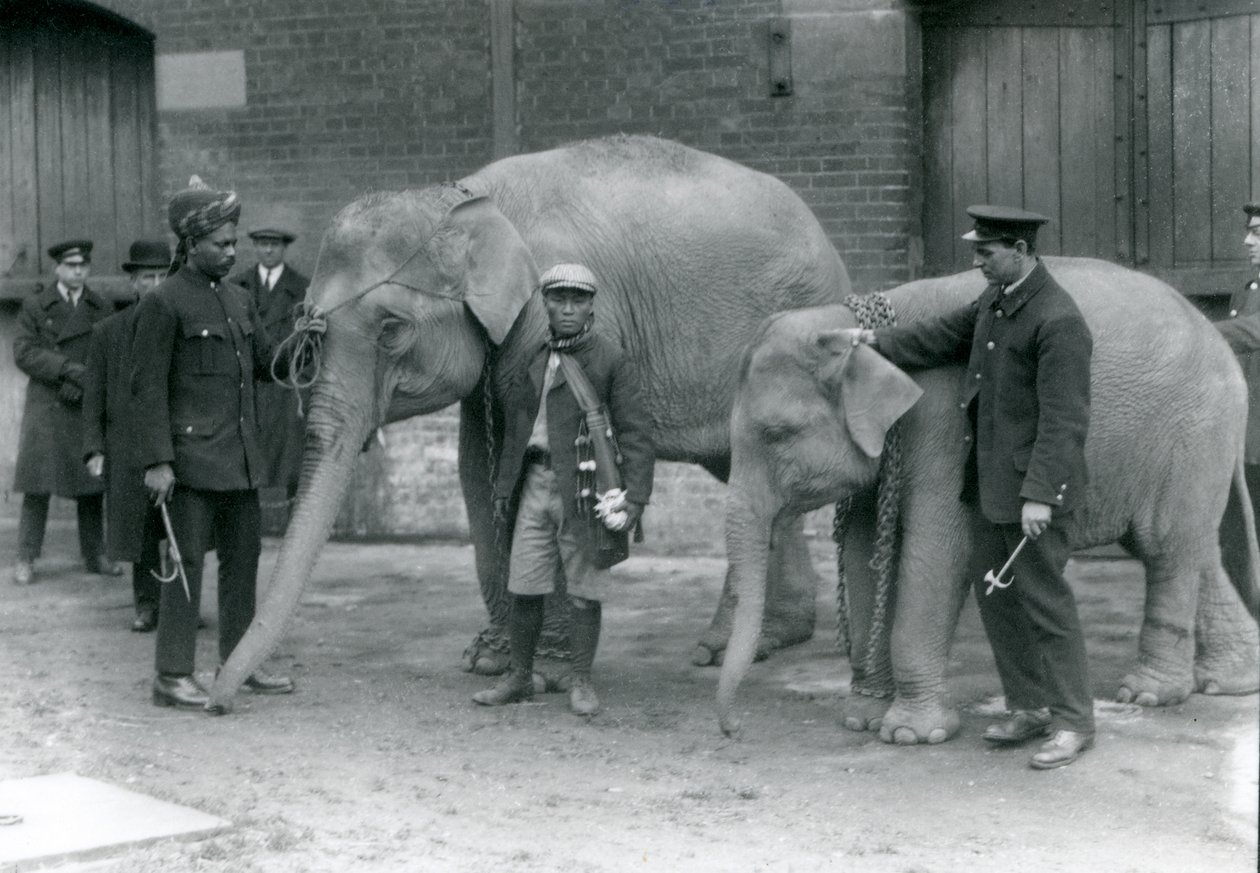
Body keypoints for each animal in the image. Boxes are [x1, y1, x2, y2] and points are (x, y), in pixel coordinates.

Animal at [208, 134, 849, 711]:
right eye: (306, 320)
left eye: (391, 330)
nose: (219, 703)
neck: (462, 200)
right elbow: (480, 468)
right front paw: (488, 660)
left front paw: (549, 673)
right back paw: (767, 639)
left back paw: (720, 647)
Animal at [714, 256, 1260, 741]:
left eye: (777, 434)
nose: (735, 729)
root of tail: (1219, 340)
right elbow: (863, 554)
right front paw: (860, 720)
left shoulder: (943, 427)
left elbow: (938, 552)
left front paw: (911, 735)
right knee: (1194, 547)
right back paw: (1229, 683)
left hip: (1192, 432)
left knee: (1165, 548)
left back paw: (1147, 694)